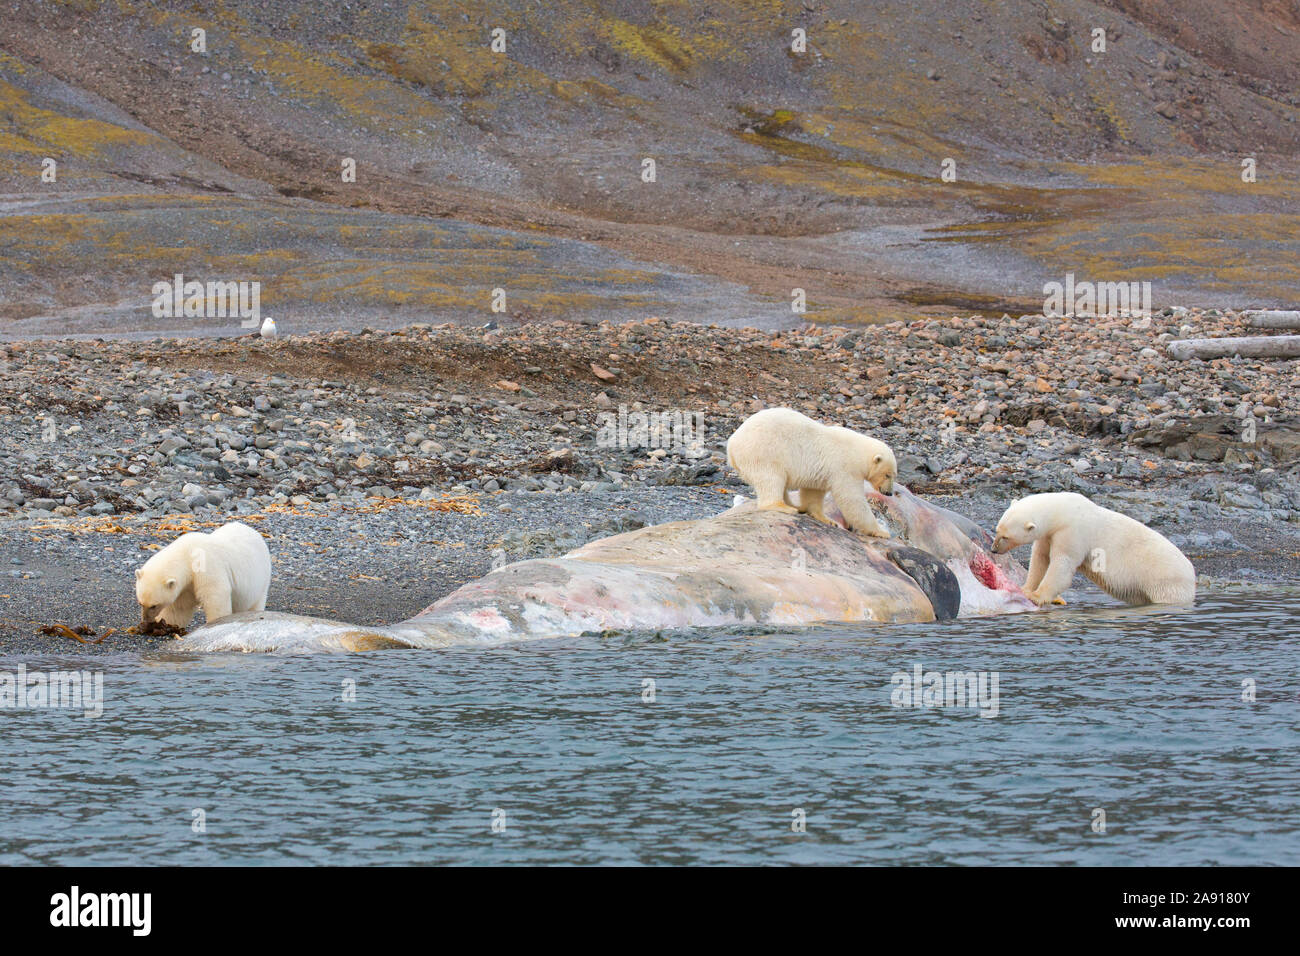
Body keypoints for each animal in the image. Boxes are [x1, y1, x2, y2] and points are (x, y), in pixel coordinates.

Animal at [135, 521, 272, 627]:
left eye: (154, 606)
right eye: (140, 603)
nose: (145, 620)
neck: (188, 554)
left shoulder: (207, 566)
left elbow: (216, 595)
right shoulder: (186, 585)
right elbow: (179, 608)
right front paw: (166, 625)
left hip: (261, 577)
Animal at [726, 407, 897, 539]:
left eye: (893, 475)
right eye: (887, 475)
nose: (889, 493)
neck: (857, 452)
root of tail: (731, 445)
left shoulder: (823, 471)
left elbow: (813, 492)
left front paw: (826, 519)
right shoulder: (844, 468)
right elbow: (852, 500)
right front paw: (881, 532)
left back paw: (793, 505)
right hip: (764, 452)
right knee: (771, 478)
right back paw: (784, 506)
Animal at [991, 492, 1195, 606]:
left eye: (1006, 537)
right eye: (997, 530)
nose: (993, 550)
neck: (1061, 511)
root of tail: (1191, 573)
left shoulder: (1072, 532)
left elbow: (1061, 564)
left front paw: (1037, 596)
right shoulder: (1049, 535)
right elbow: (1040, 559)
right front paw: (1025, 588)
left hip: (1165, 582)